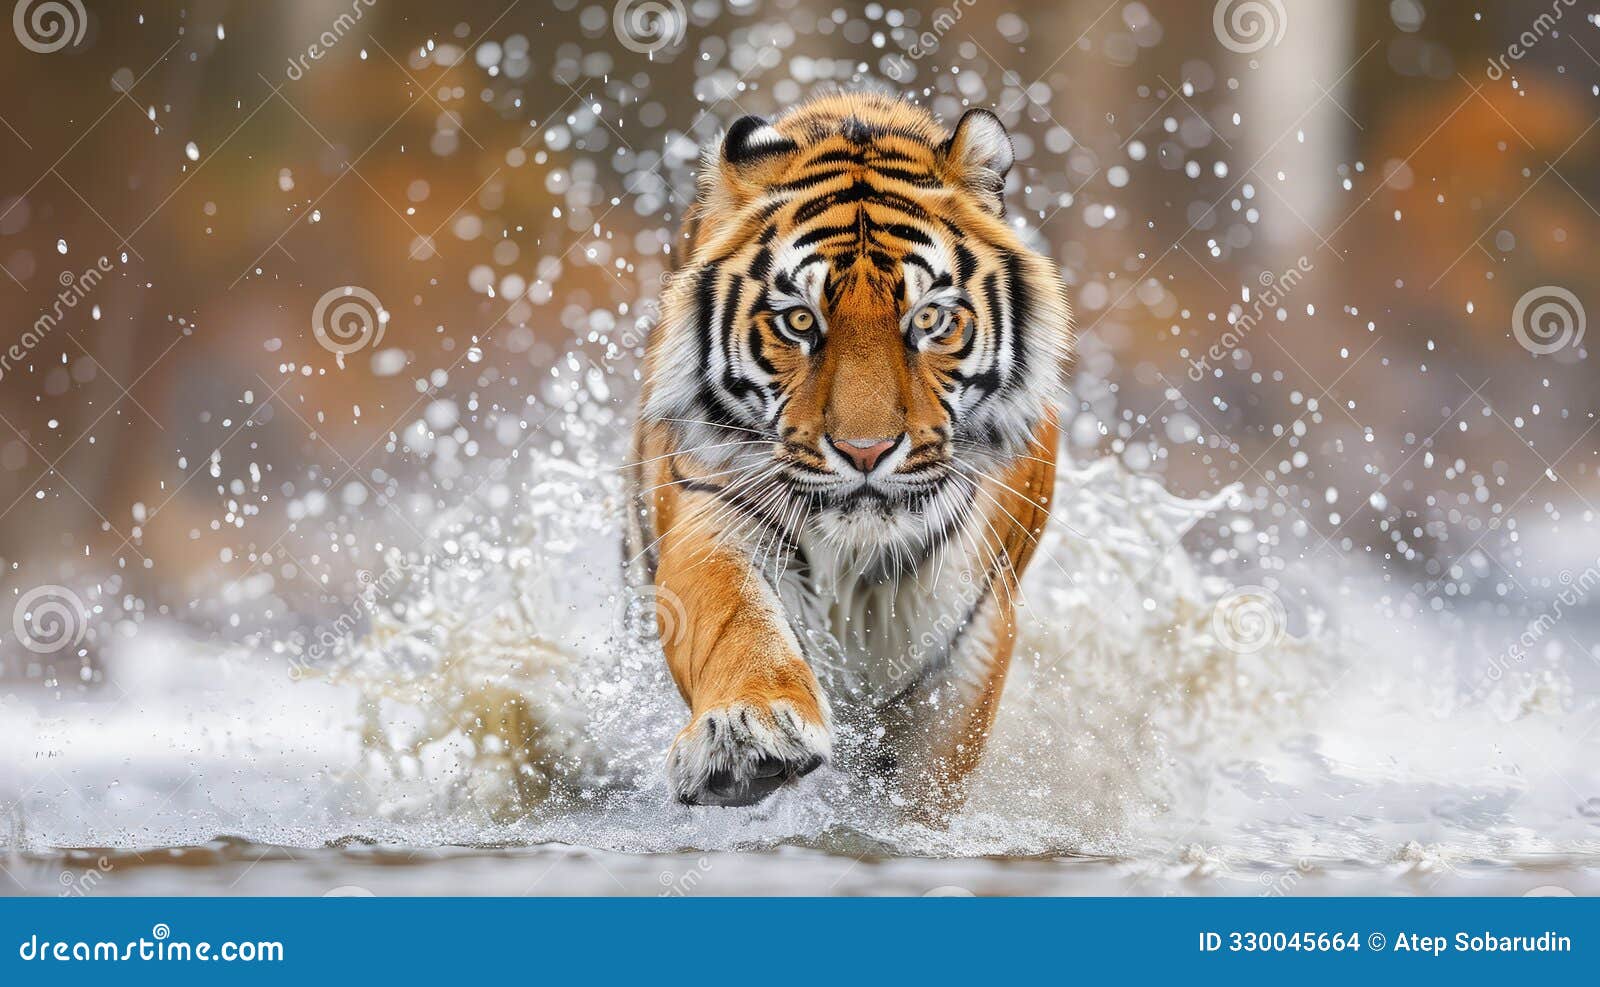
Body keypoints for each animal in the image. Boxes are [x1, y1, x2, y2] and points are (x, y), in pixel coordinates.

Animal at [624, 92, 1073, 819]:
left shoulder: (975, 620)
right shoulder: (712, 514)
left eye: (929, 319)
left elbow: (931, 769)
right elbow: (737, 623)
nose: (866, 452)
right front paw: (747, 739)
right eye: (800, 321)